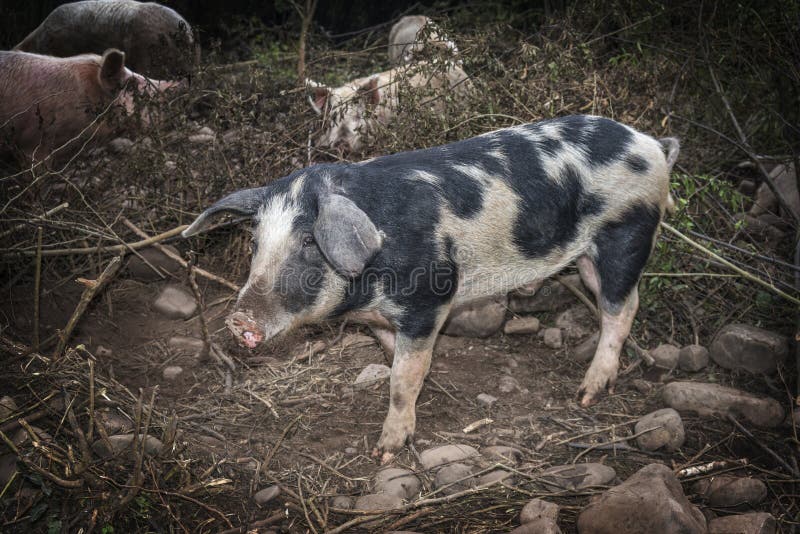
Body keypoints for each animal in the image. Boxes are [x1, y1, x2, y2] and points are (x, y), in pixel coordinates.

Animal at [182, 115, 679, 462]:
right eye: (255, 241)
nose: (238, 319)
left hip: (628, 233)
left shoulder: (427, 301)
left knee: (622, 307)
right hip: (591, 255)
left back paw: (587, 393)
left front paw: (385, 452)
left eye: (308, 240)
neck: (369, 281)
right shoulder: (383, 317)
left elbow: (403, 378)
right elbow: (395, 359)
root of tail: (651, 143)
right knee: (620, 300)